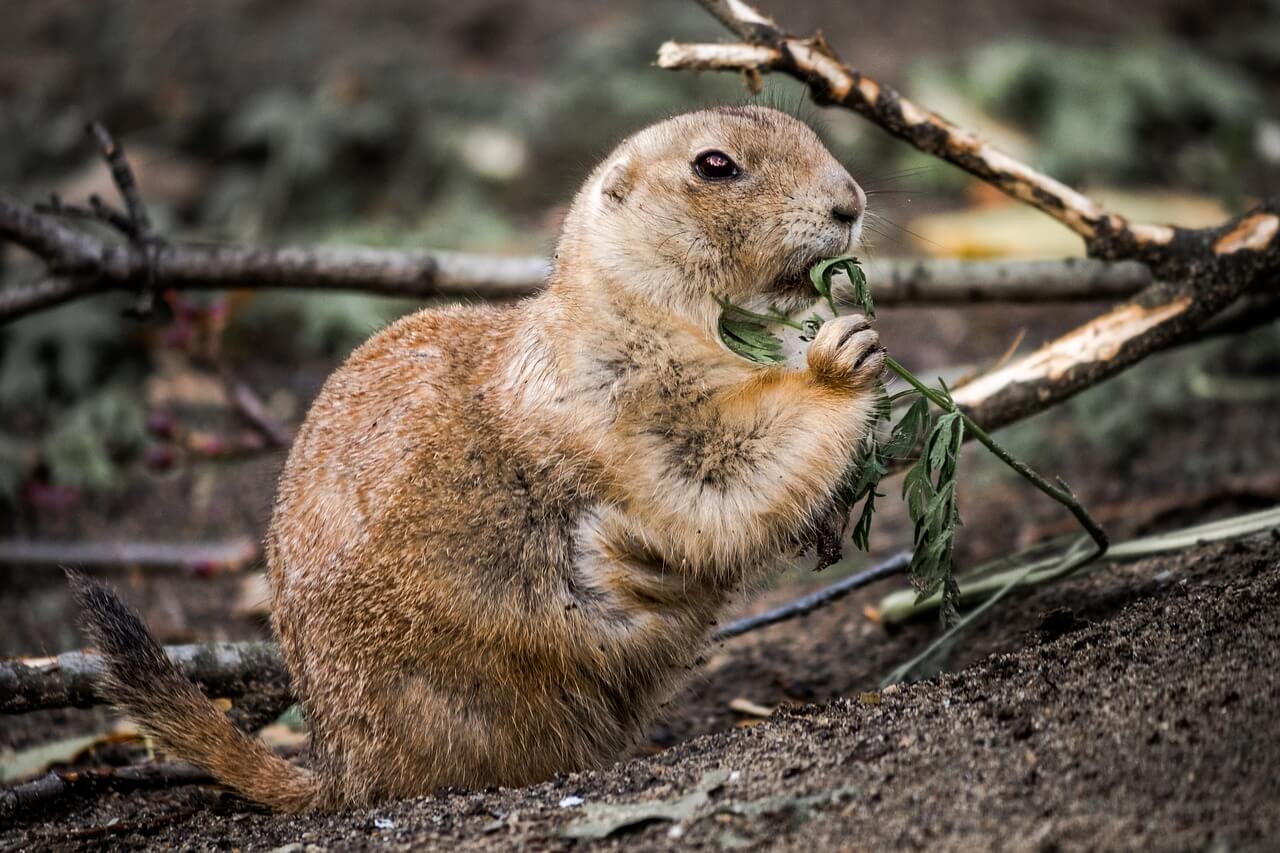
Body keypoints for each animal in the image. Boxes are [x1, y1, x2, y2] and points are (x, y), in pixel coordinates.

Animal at [73, 105, 882, 811]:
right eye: (715, 165)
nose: (852, 201)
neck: (648, 310)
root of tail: (339, 771)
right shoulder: (625, 406)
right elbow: (719, 477)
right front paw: (842, 359)